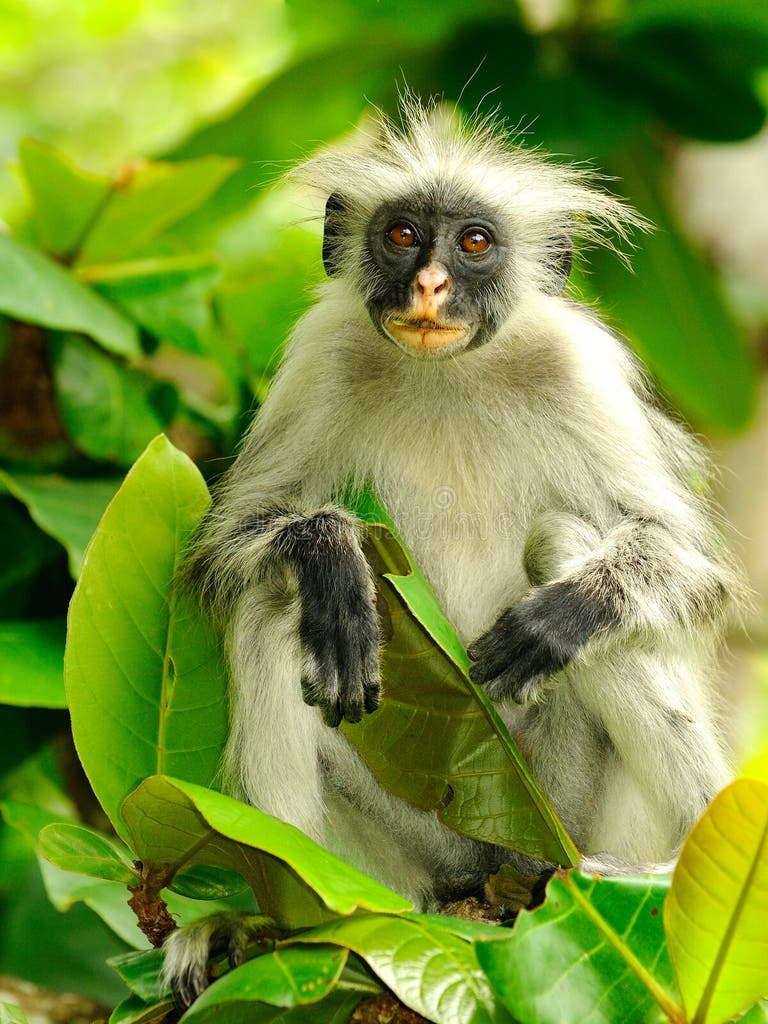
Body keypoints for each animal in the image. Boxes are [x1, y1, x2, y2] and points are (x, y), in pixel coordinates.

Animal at [162, 99, 740, 1004]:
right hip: (416, 852)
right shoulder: (322, 357)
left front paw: (567, 615)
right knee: (274, 602)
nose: (430, 284)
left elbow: (687, 562)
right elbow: (234, 545)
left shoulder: (578, 368)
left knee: (564, 541)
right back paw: (280, 926)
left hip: (576, 819)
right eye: (403, 235)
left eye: (473, 243)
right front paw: (329, 554)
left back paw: (676, 875)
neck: (449, 375)